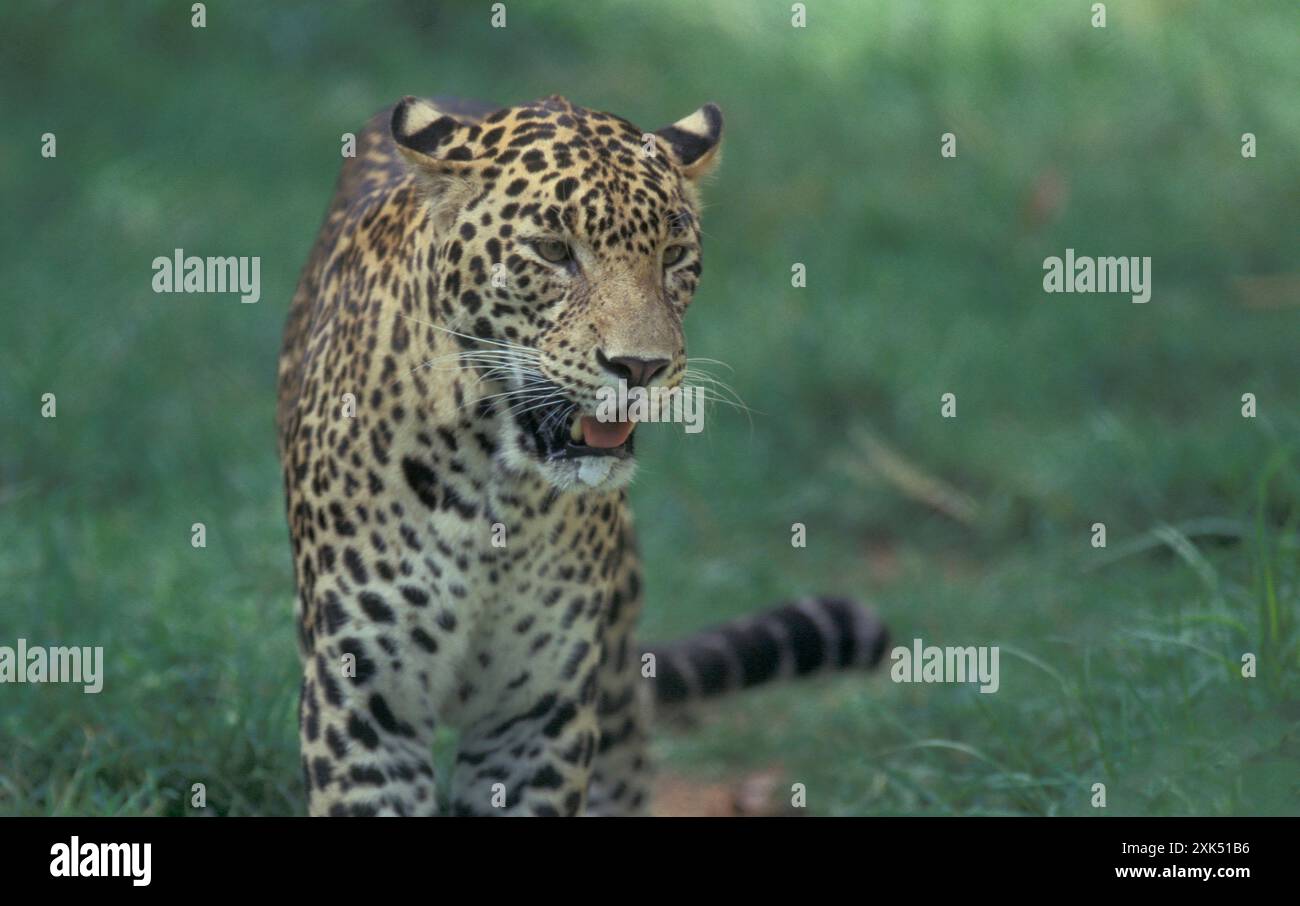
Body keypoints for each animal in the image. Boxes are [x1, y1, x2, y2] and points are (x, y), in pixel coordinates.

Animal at [275, 93, 889, 816]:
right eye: (552, 252)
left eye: (673, 255)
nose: (640, 367)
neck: (495, 490)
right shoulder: (368, 705)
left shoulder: (537, 716)